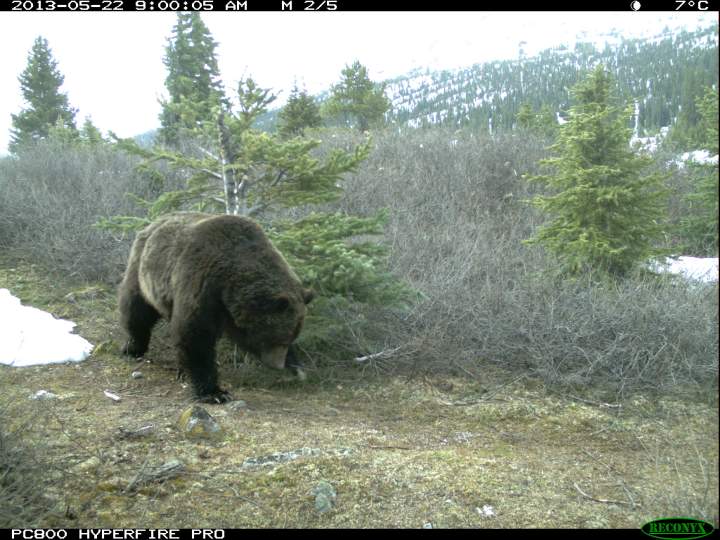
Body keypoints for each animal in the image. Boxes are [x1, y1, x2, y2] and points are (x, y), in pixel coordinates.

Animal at [118, 212, 313, 403]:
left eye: (291, 336)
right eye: (276, 338)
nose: (278, 364)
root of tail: (153, 223)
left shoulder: (231, 312)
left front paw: (298, 368)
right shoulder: (202, 284)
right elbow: (195, 335)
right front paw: (215, 393)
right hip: (143, 271)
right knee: (137, 311)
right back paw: (132, 348)